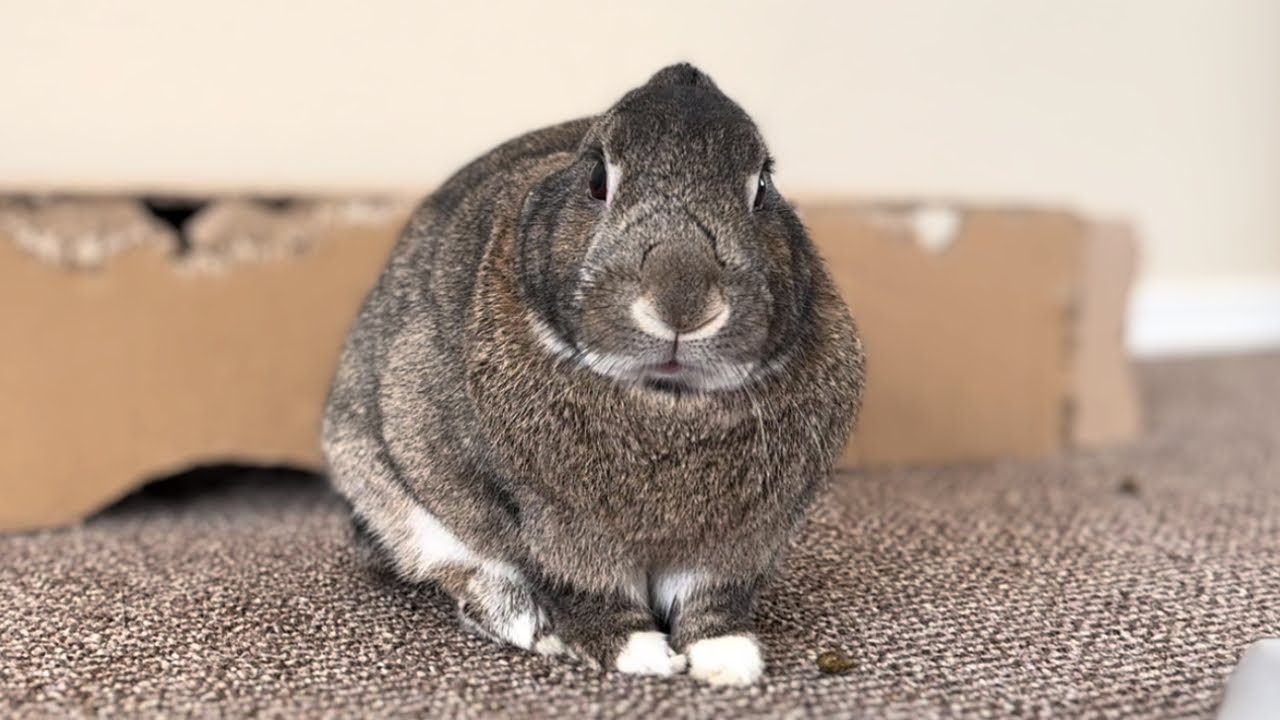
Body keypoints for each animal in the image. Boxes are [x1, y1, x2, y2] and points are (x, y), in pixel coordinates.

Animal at [322, 62, 865, 686]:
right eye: (598, 181)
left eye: (761, 189)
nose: (682, 305)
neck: (667, 399)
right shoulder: (550, 528)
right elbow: (586, 591)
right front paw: (641, 656)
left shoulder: (737, 544)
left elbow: (711, 601)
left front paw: (728, 662)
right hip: (392, 491)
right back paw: (535, 627)